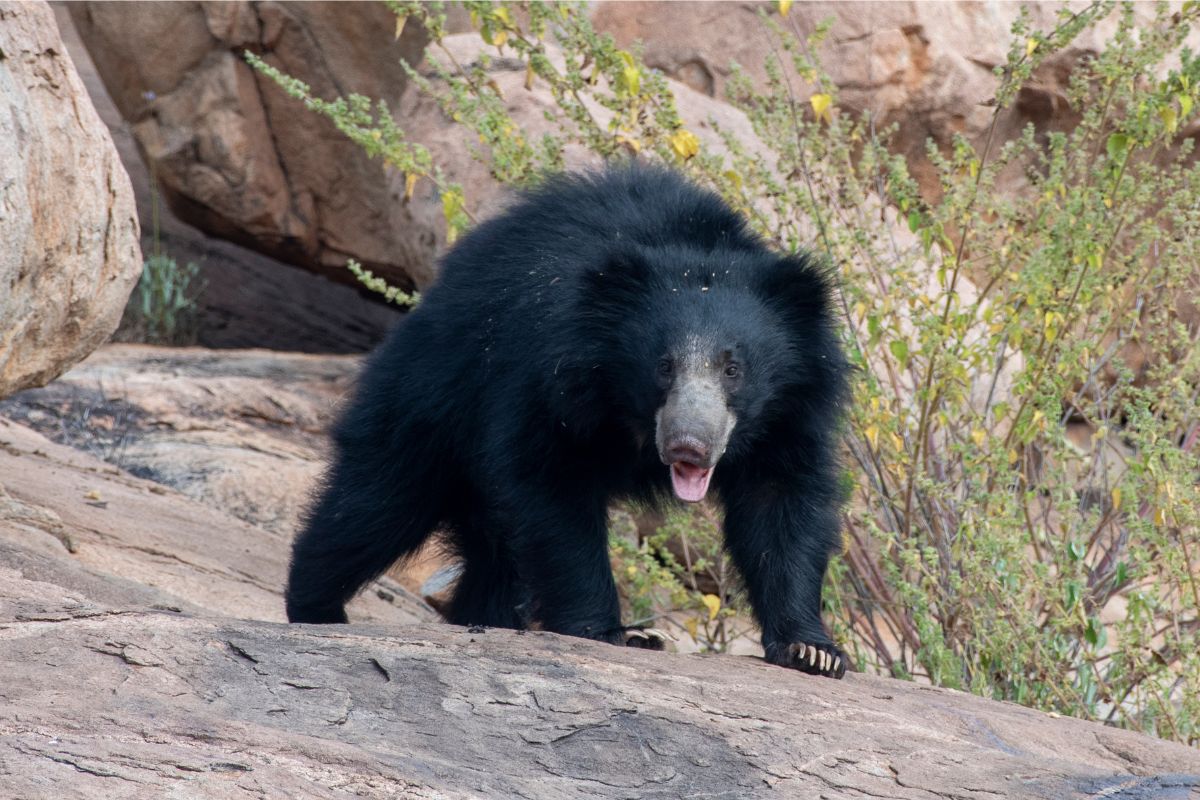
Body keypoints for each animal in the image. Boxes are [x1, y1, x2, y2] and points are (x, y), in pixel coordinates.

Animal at [286, 164, 850, 678]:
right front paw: (615, 634)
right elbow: (552, 490)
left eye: (734, 369)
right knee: (377, 502)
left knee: (489, 556)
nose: (688, 446)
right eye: (663, 366)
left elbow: (779, 504)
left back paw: (481, 621)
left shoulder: (793, 411)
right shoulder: (550, 380)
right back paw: (316, 608)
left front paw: (812, 651)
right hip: (434, 393)